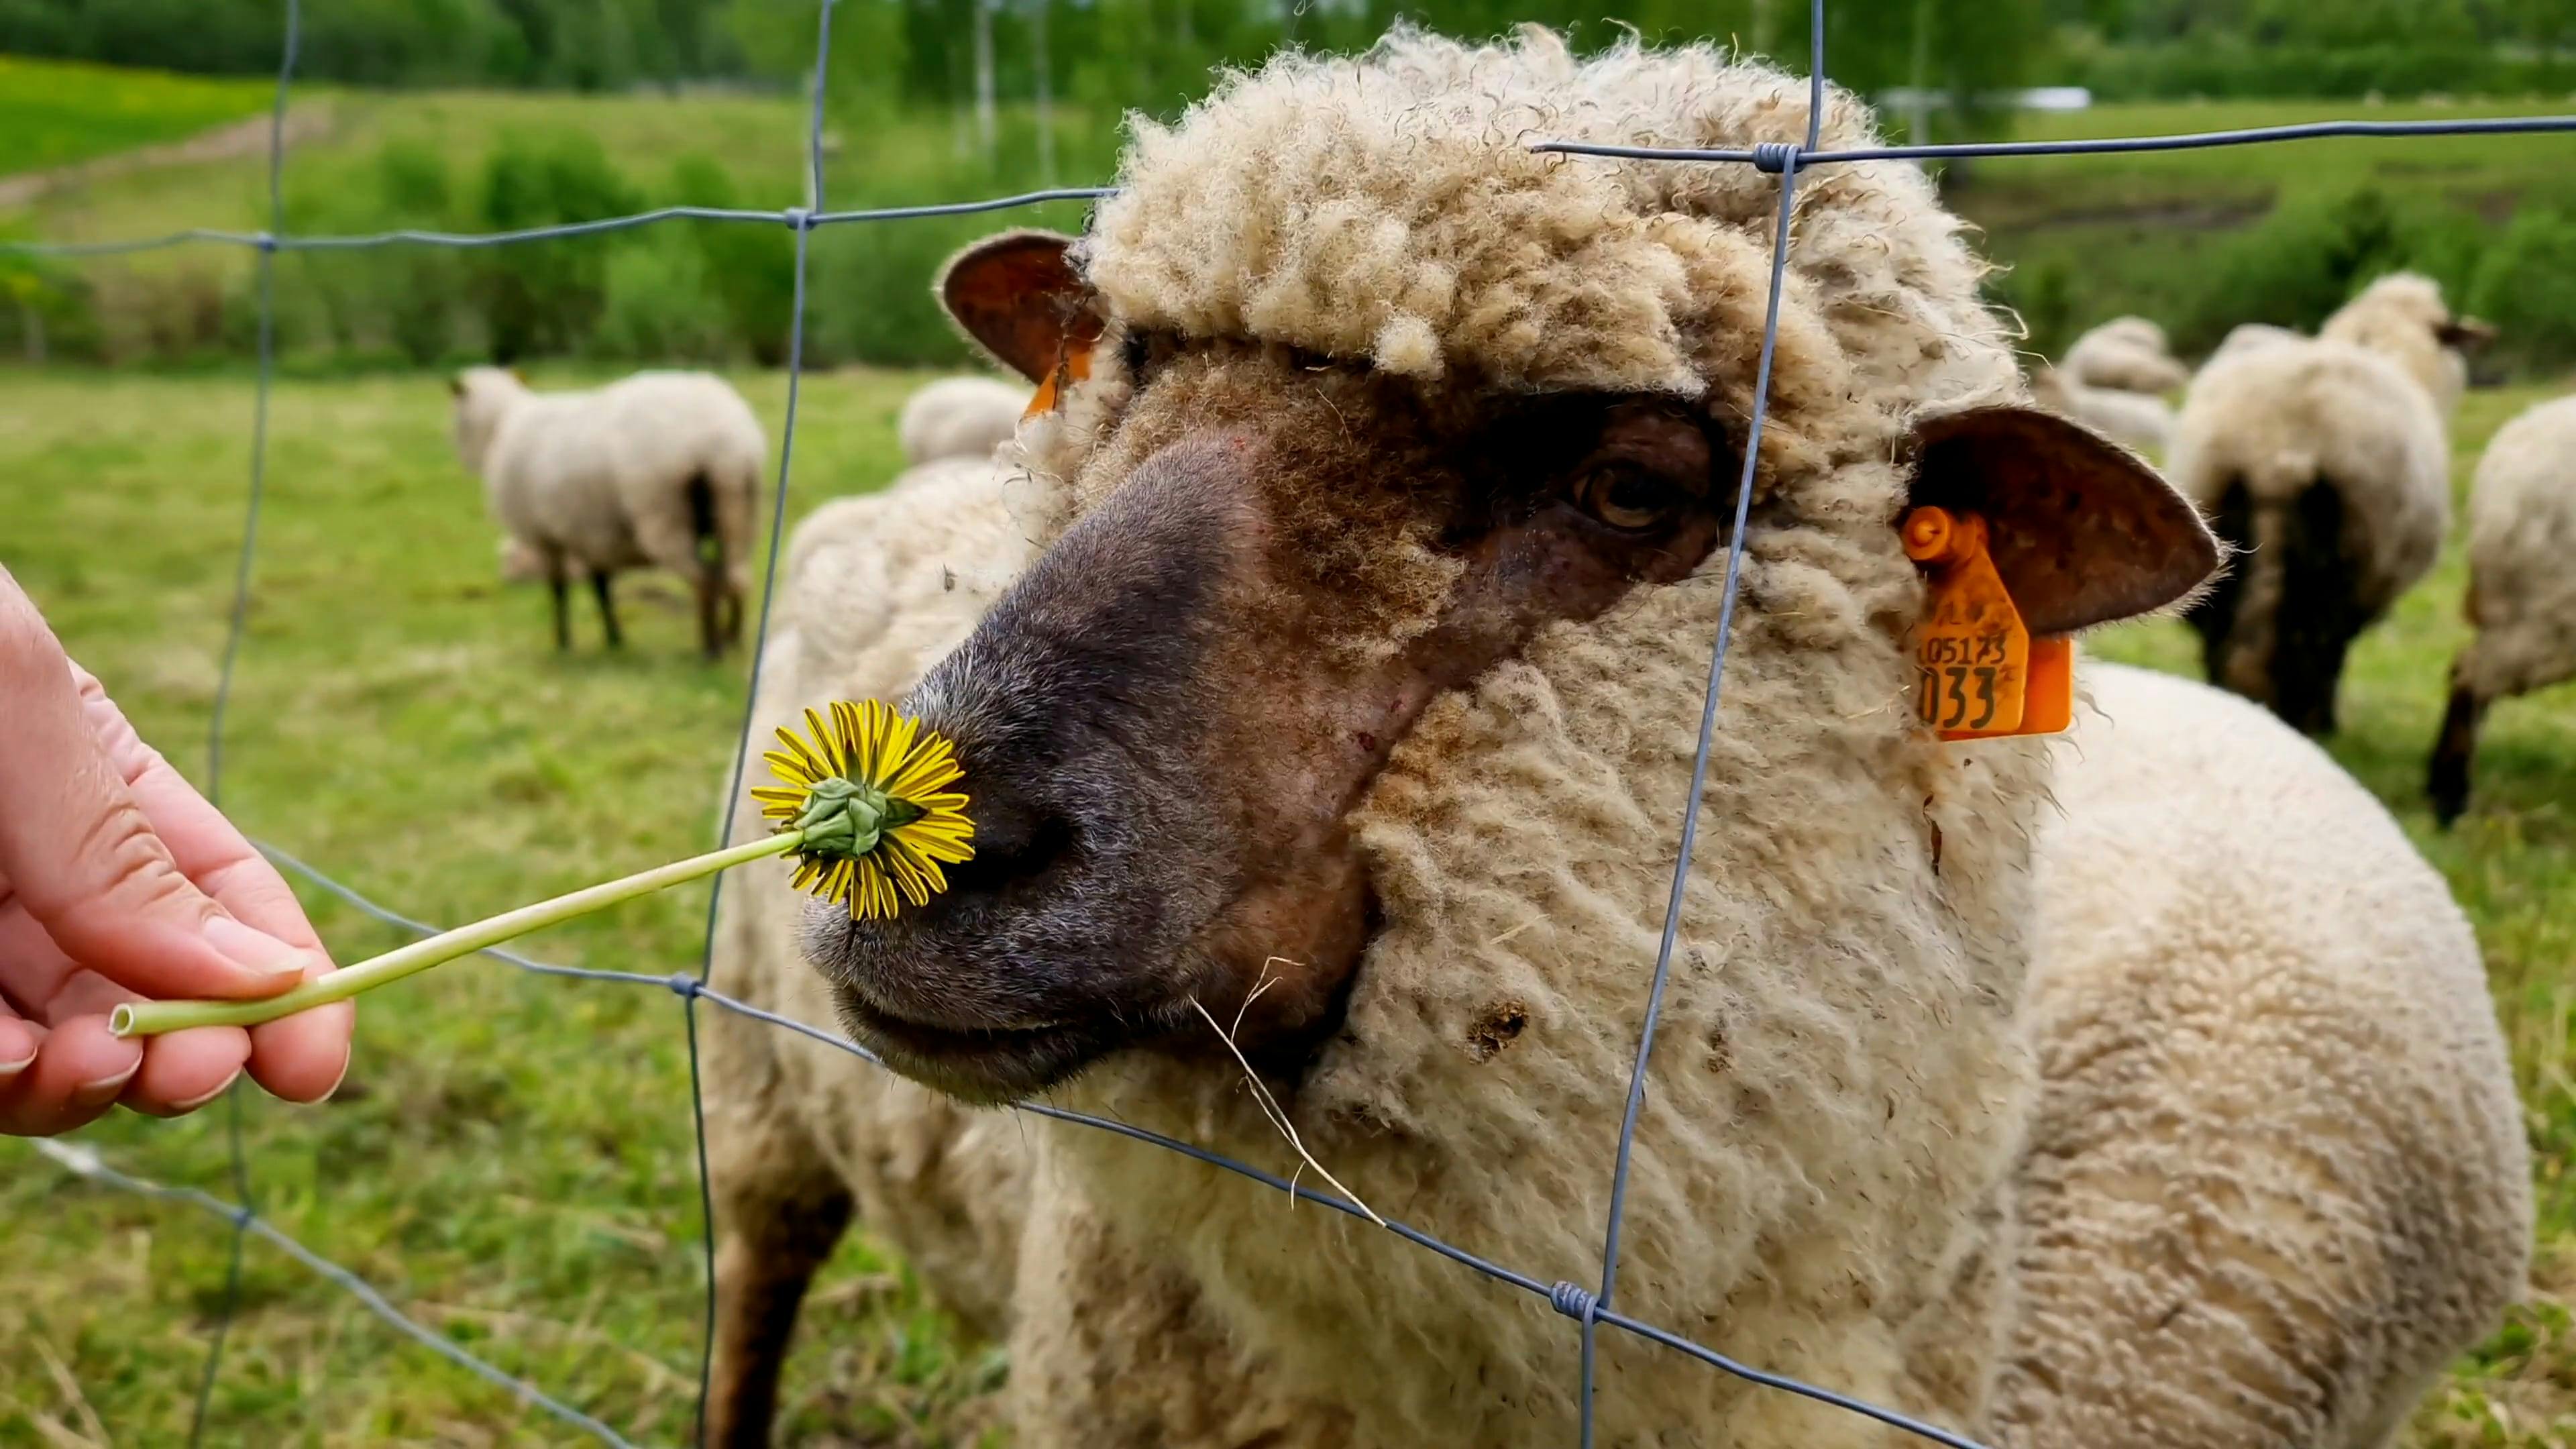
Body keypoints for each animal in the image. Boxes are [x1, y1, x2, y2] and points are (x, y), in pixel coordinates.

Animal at [450, 366, 765, 658]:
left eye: (459, 420)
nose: (462, 462)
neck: (502, 425)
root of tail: (721, 443)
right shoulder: (591, 533)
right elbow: (601, 587)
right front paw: (615, 640)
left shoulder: (547, 537)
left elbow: (559, 589)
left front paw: (563, 643)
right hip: (738, 503)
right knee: (737, 576)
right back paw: (733, 639)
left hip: (664, 511)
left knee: (707, 581)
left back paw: (712, 649)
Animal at [2164, 277, 2484, 734]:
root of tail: (2278, 444)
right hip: (2341, 550)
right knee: (2318, 639)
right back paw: (2310, 719)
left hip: (2219, 525)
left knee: (2222, 628)